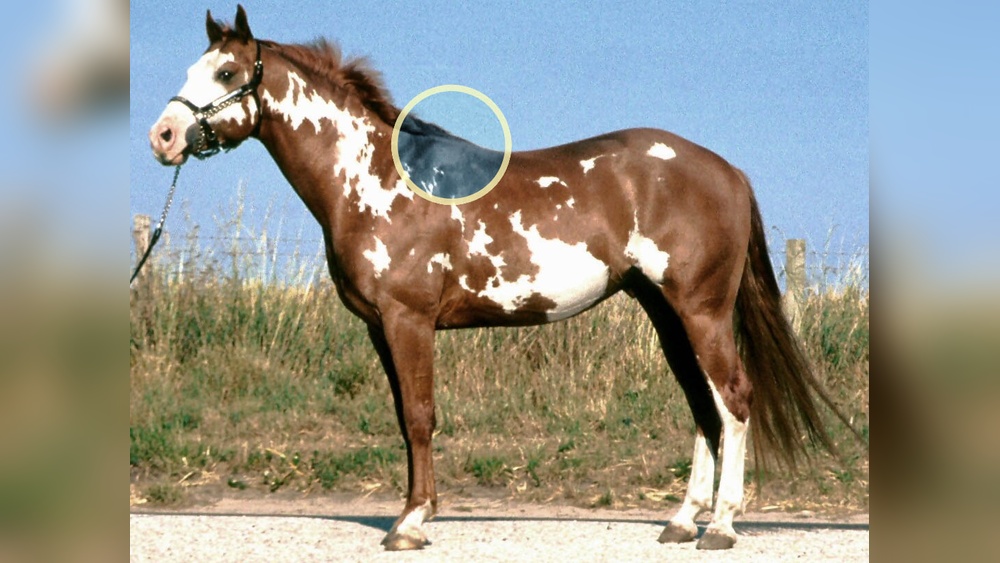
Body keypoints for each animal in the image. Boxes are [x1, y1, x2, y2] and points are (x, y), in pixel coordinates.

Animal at [149, 5, 852, 552]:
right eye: (191, 71)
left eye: (227, 73)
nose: (163, 137)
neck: (375, 178)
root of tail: (727, 171)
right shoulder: (381, 329)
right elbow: (403, 416)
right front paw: (414, 514)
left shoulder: (408, 322)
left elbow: (420, 416)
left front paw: (411, 523)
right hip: (666, 315)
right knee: (704, 406)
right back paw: (682, 522)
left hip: (700, 310)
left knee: (733, 398)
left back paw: (723, 526)